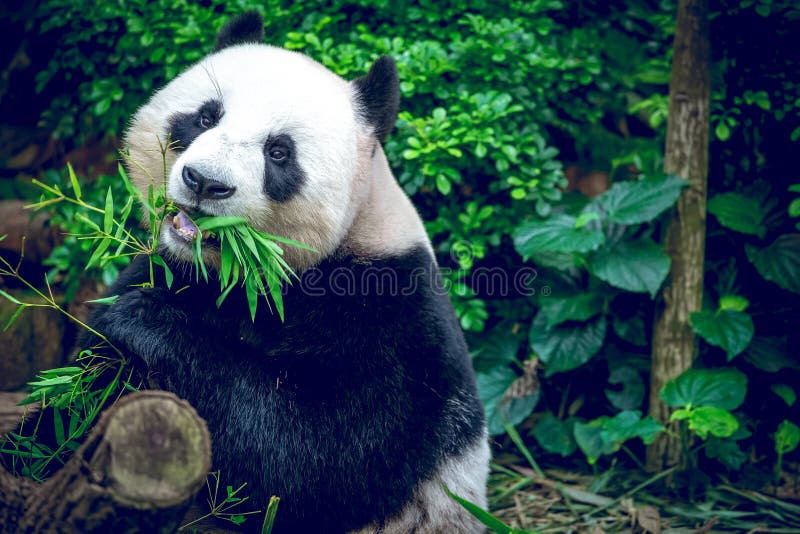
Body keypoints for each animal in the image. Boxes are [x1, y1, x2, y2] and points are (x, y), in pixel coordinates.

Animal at [85, 11, 489, 533]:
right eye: (206, 116)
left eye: (279, 152)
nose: (204, 182)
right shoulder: (174, 268)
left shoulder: (388, 319)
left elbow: (314, 458)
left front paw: (145, 321)